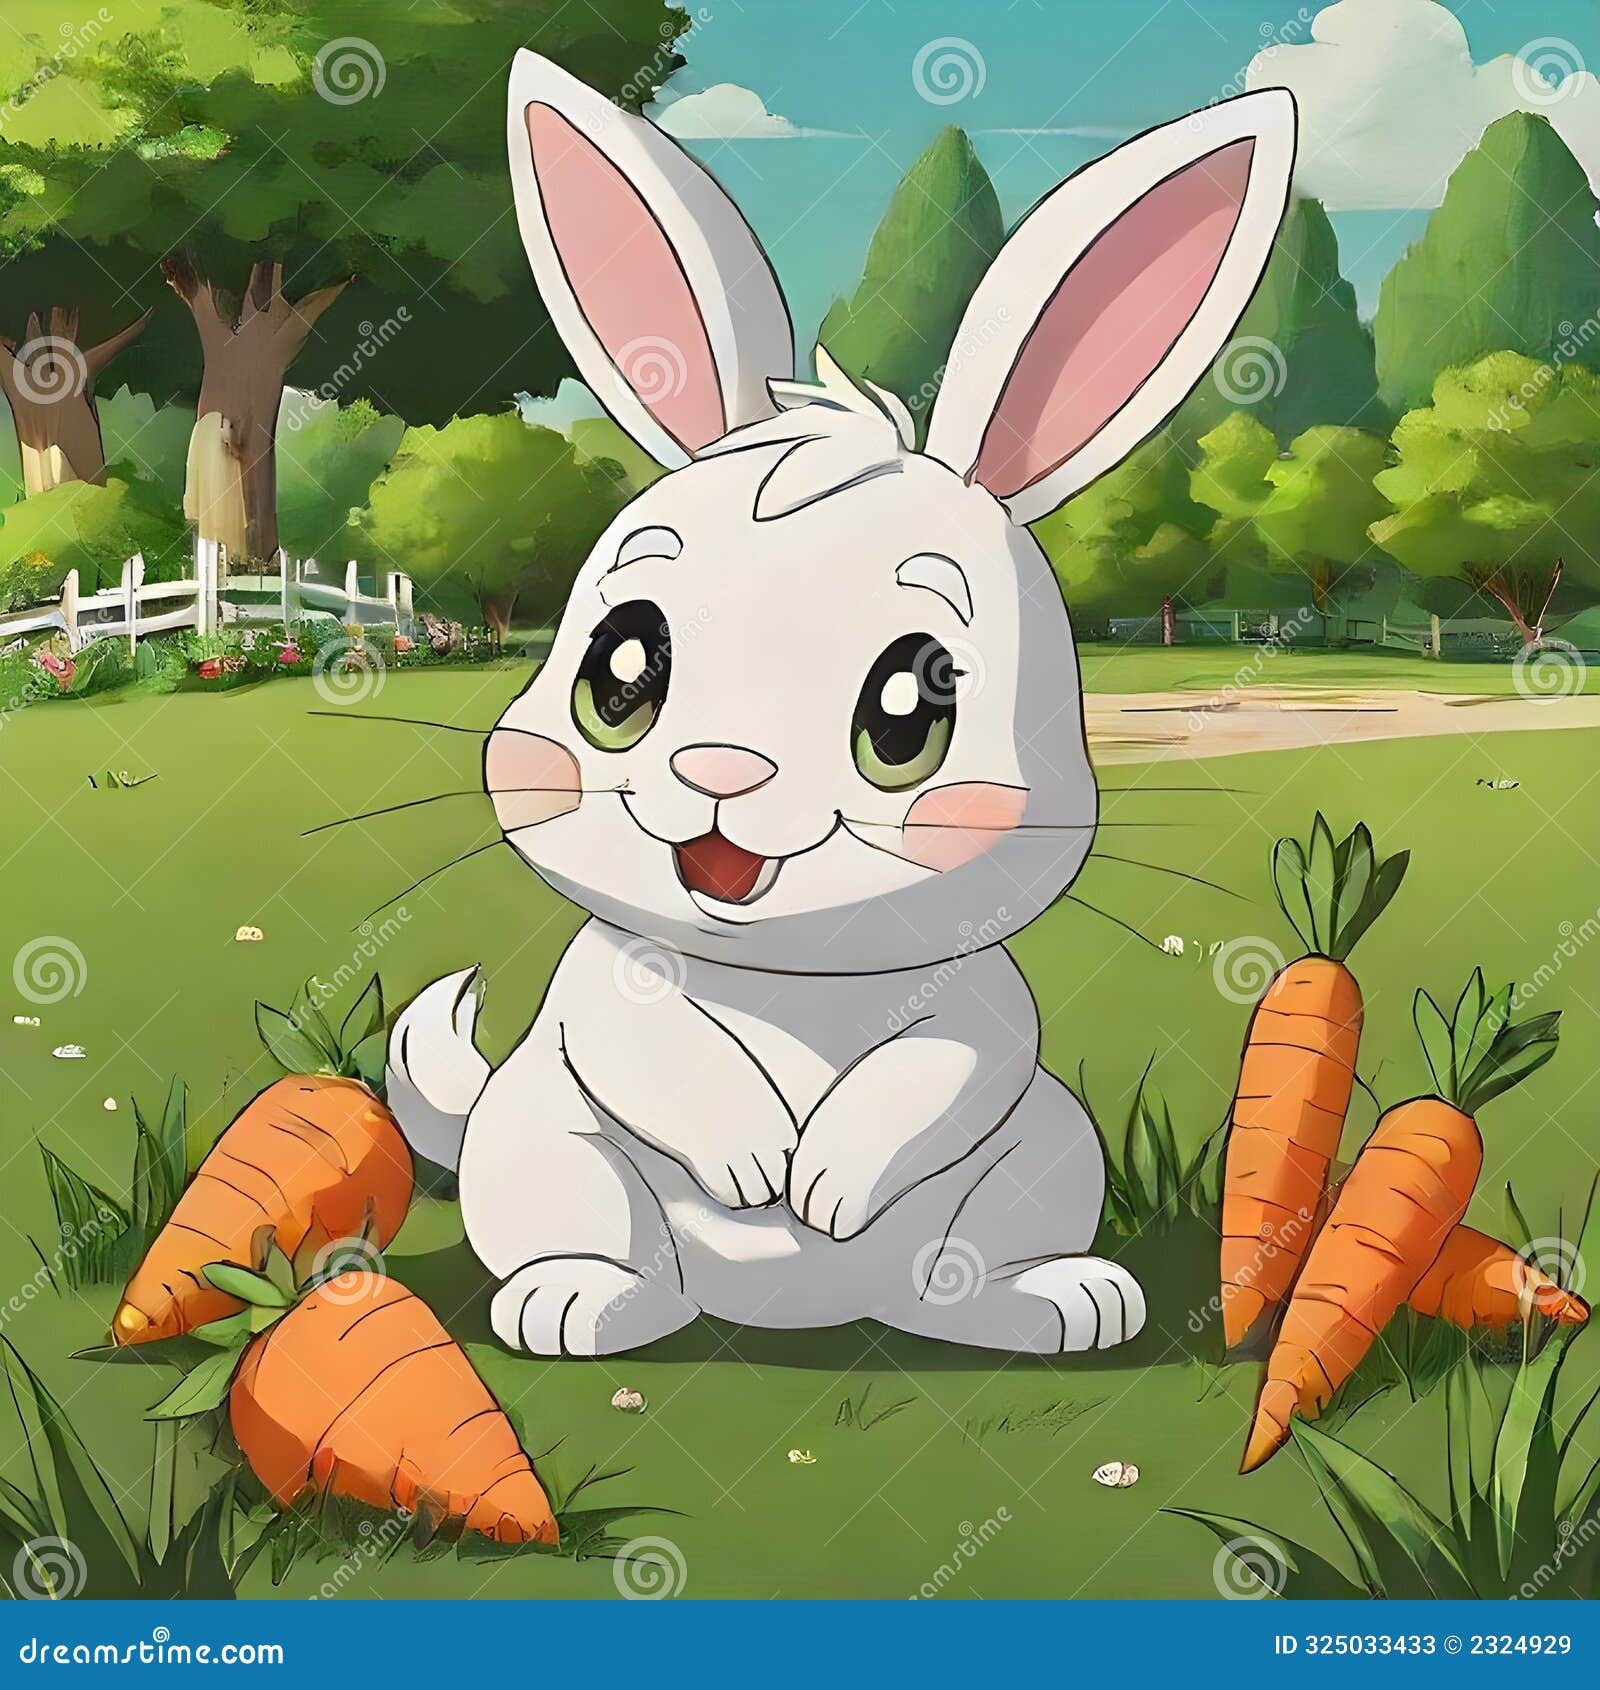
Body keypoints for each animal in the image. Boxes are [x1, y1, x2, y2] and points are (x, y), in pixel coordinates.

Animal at [386, 52, 1295, 1357]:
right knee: (606, 1249)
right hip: (545, 1145)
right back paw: (581, 1301)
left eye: (909, 708)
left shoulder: (981, 1010)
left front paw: (820, 1180)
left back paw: (1052, 1302)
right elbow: (641, 1046)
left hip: (1044, 1151)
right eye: (621, 668)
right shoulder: (605, 988)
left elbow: (950, 1069)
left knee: (966, 1269)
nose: (720, 774)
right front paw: (754, 1161)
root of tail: (793, 1313)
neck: (793, 981)